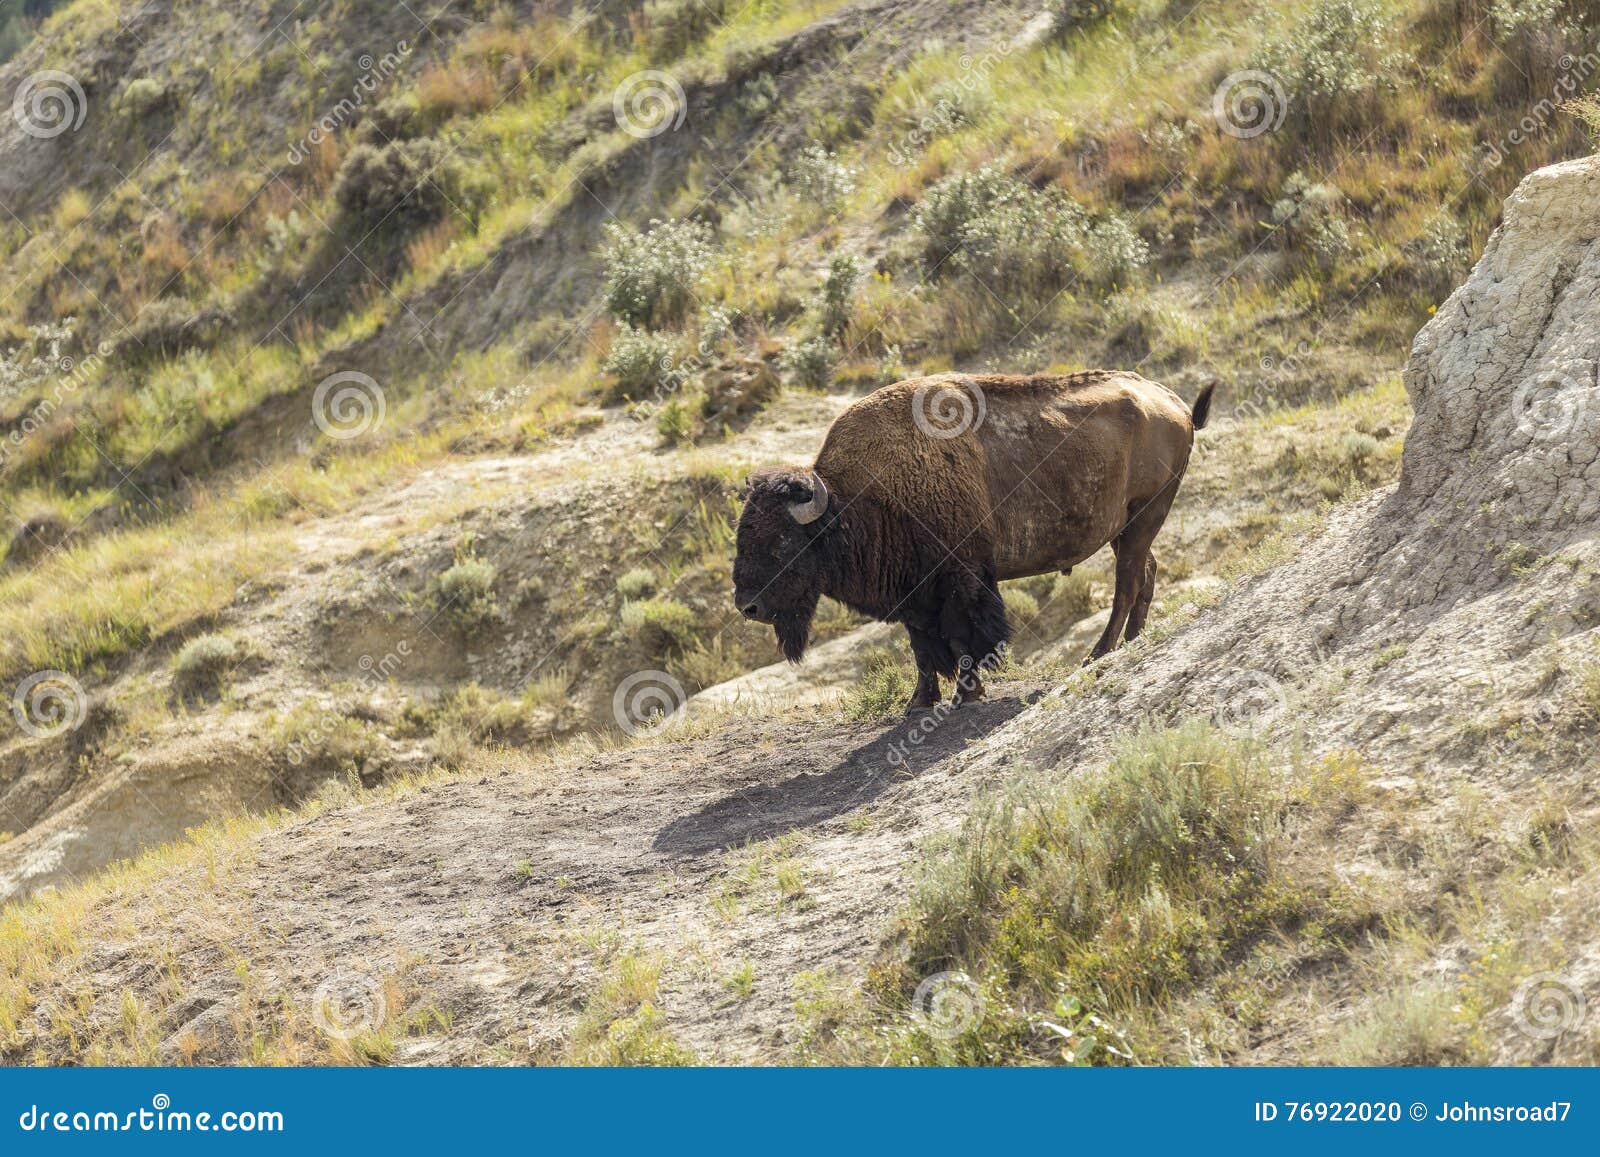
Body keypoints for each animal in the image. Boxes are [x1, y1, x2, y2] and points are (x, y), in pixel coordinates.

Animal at [732, 371, 1213, 712]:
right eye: (742, 535)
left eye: (782, 541)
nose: (747, 606)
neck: (854, 498)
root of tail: (1173, 403)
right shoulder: (914, 594)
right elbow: (922, 647)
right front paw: (918, 703)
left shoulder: (961, 581)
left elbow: (963, 638)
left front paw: (967, 694)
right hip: (1127, 530)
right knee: (1145, 575)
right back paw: (1130, 643)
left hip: (1144, 517)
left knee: (1127, 585)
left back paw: (1095, 656)